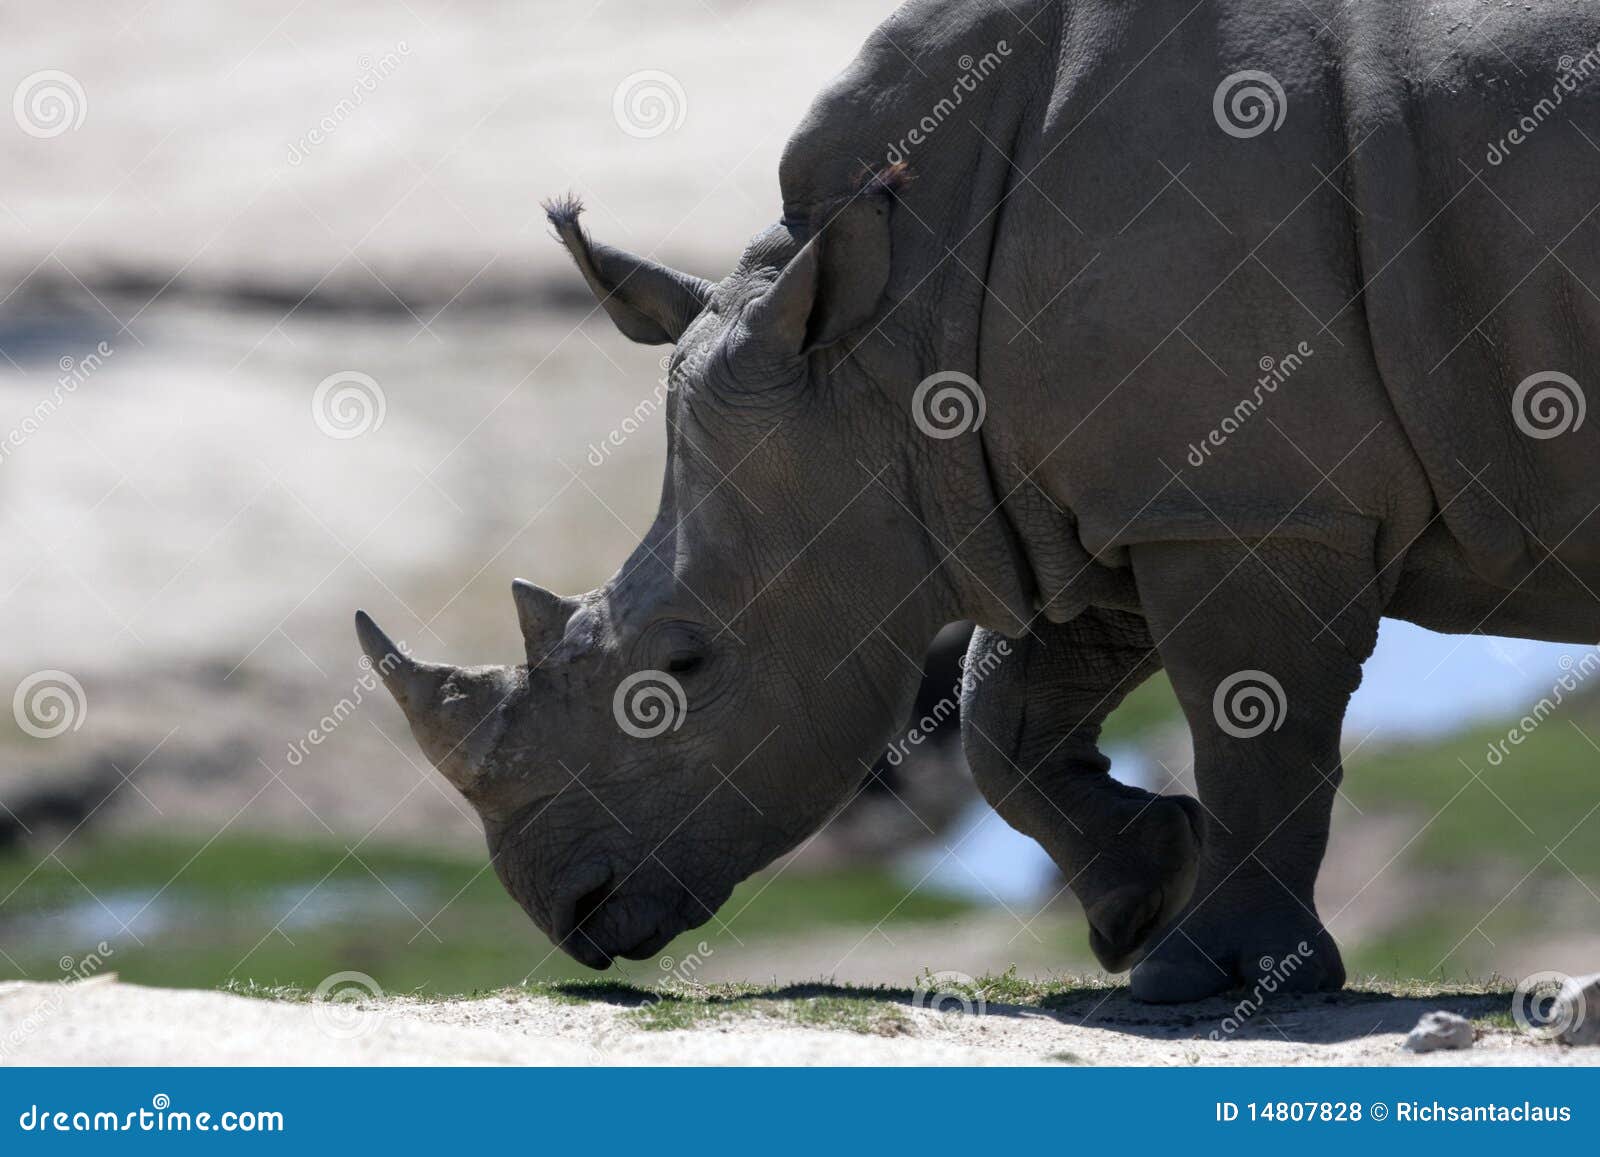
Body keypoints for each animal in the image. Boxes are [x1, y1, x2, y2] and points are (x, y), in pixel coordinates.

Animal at [356, 0, 1600, 1002]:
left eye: (682, 664)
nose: (561, 905)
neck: (895, 338)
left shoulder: (1248, 502)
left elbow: (1253, 728)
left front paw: (1212, 978)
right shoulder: (1124, 490)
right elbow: (1005, 714)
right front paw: (1143, 897)